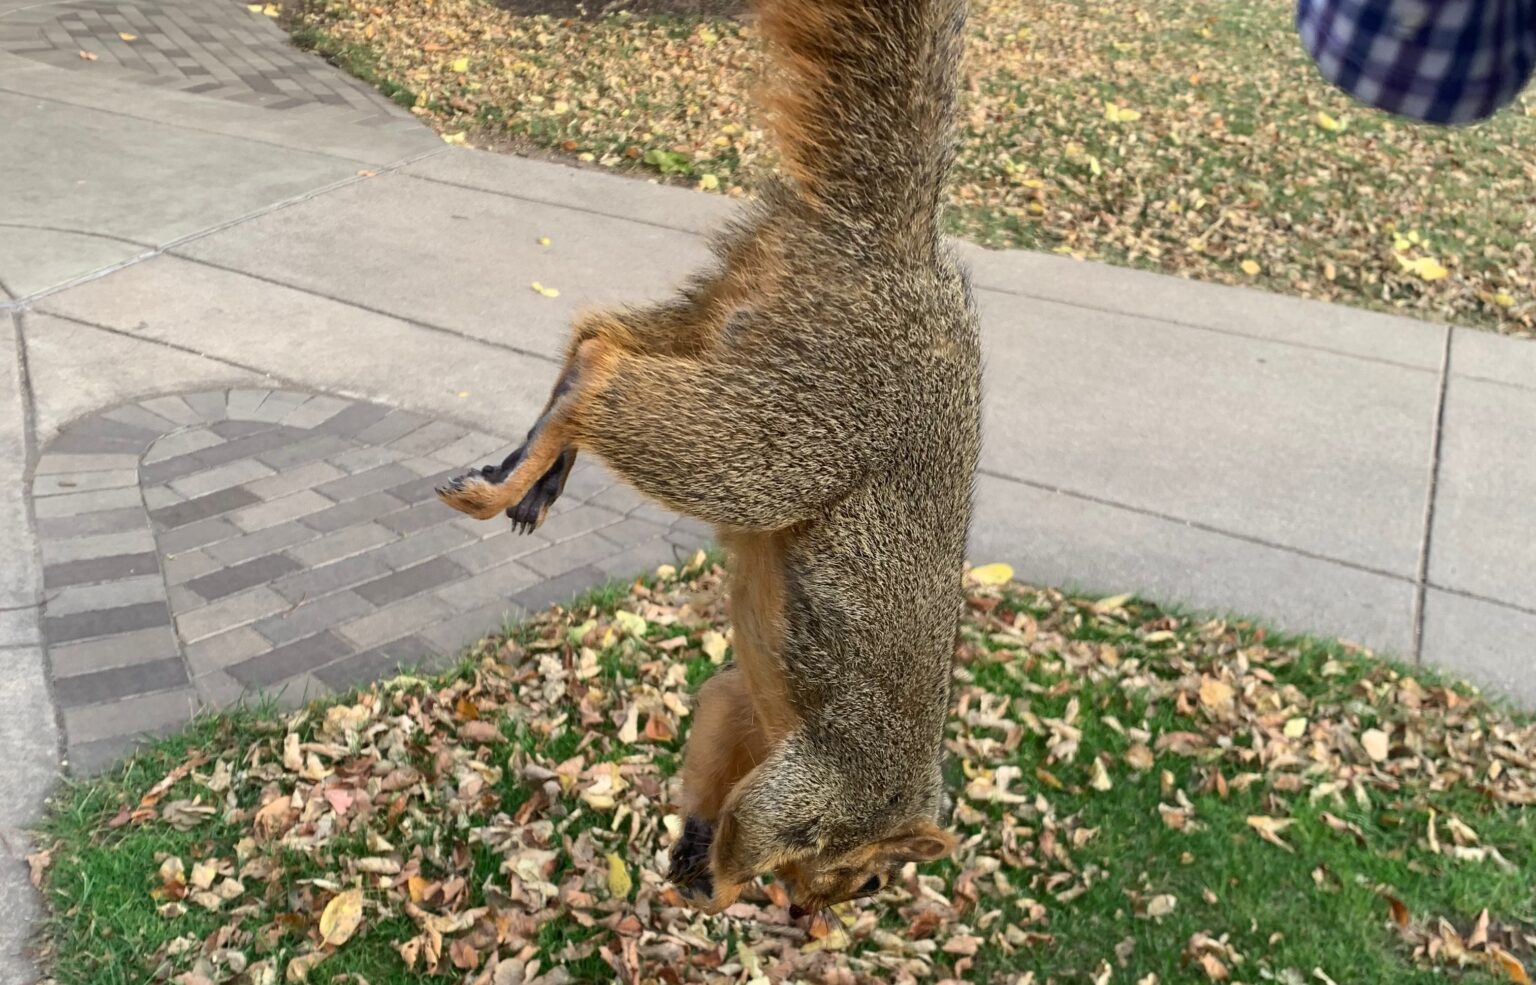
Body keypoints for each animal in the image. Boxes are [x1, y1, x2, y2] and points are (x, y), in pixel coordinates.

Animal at [438, 0, 980, 917]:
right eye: (865, 876)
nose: (811, 912)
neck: (883, 801)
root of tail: (893, 255)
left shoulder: (744, 712)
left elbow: (715, 722)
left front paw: (690, 844)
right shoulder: (820, 783)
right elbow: (754, 824)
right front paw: (721, 887)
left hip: (730, 329)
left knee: (598, 331)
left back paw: (533, 470)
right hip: (786, 431)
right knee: (610, 374)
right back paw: (523, 468)